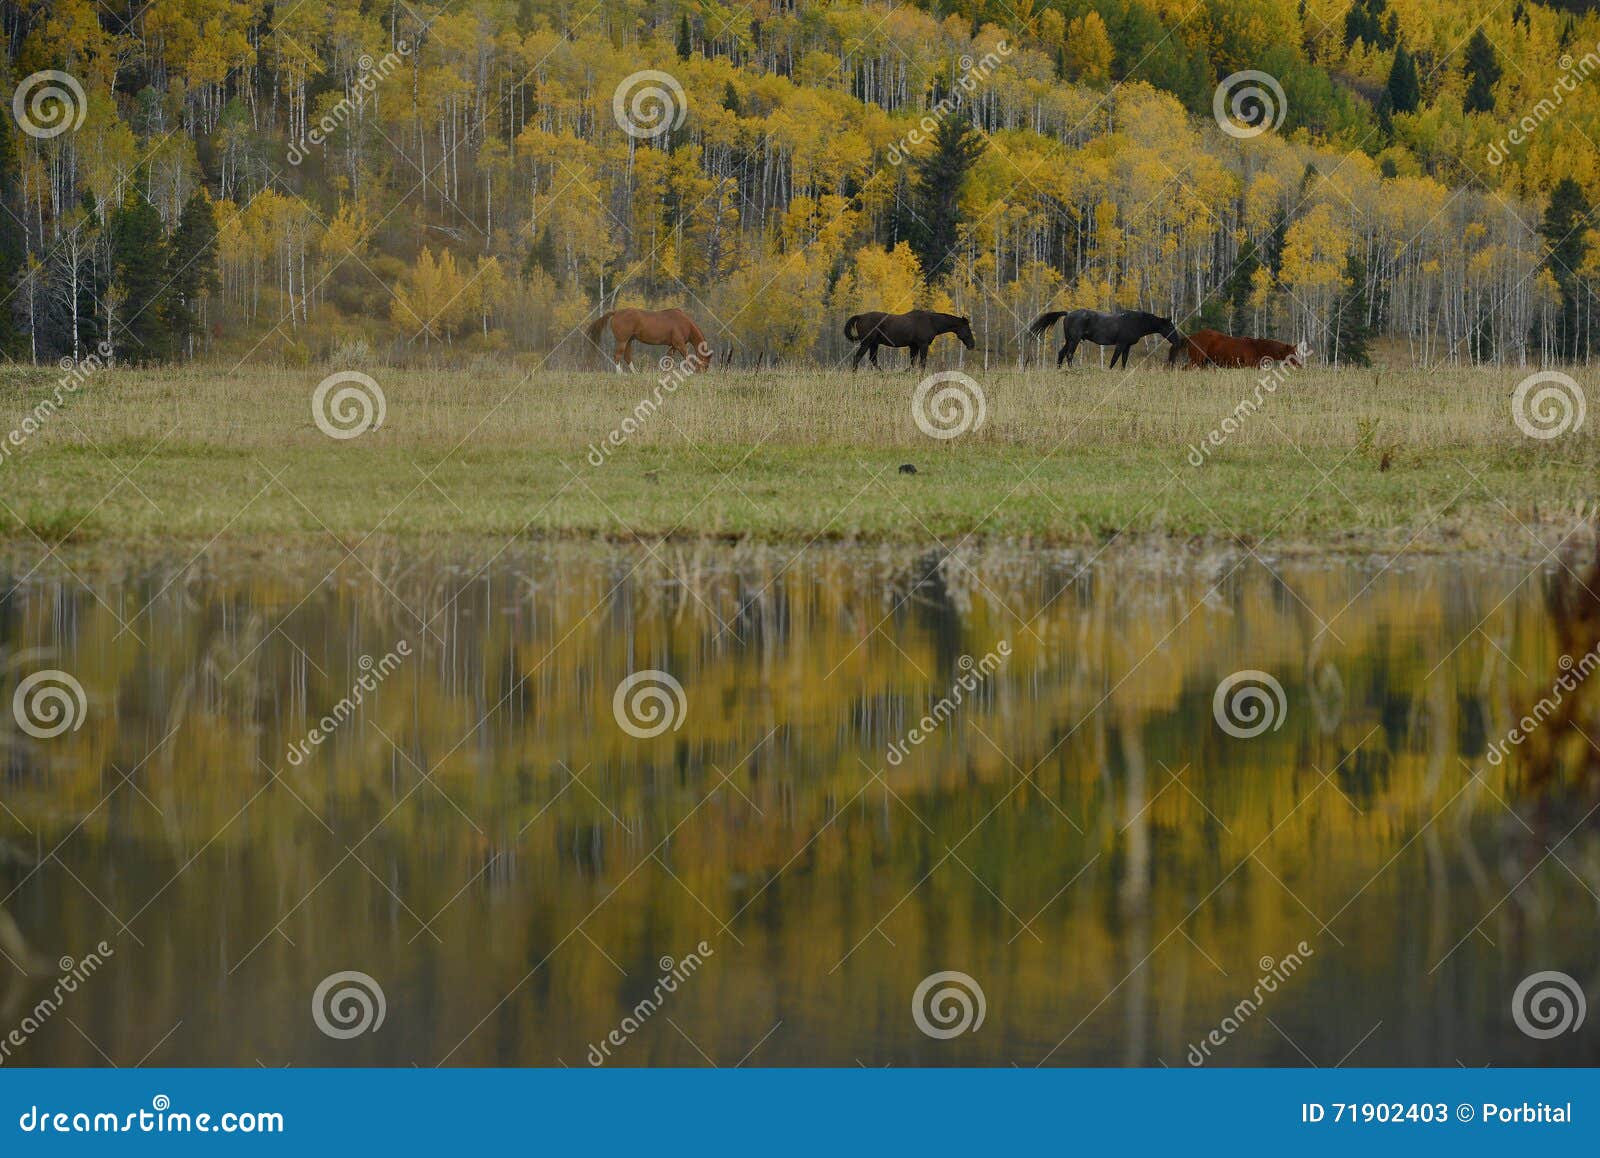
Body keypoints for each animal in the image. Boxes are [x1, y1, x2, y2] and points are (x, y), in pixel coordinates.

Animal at [843, 310, 975, 370]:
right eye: (967, 329)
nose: (972, 345)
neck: (932, 323)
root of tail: (860, 317)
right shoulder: (923, 344)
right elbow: (922, 362)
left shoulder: (914, 346)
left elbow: (913, 362)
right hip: (866, 343)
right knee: (857, 357)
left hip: (874, 344)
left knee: (872, 359)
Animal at [1027, 309, 1182, 368]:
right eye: (1170, 326)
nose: (1177, 341)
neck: (1136, 322)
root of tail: (1068, 313)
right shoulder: (1121, 344)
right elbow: (1114, 360)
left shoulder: (1127, 346)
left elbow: (1123, 361)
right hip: (1074, 340)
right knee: (1069, 354)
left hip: (1069, 340)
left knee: (1061, 353)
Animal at [1169, 329, 1305, 369]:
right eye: (1292, 354)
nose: (1300, 365)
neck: (1258, 347)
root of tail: (1191, 337)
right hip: (1196, 361)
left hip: (1202, 363)